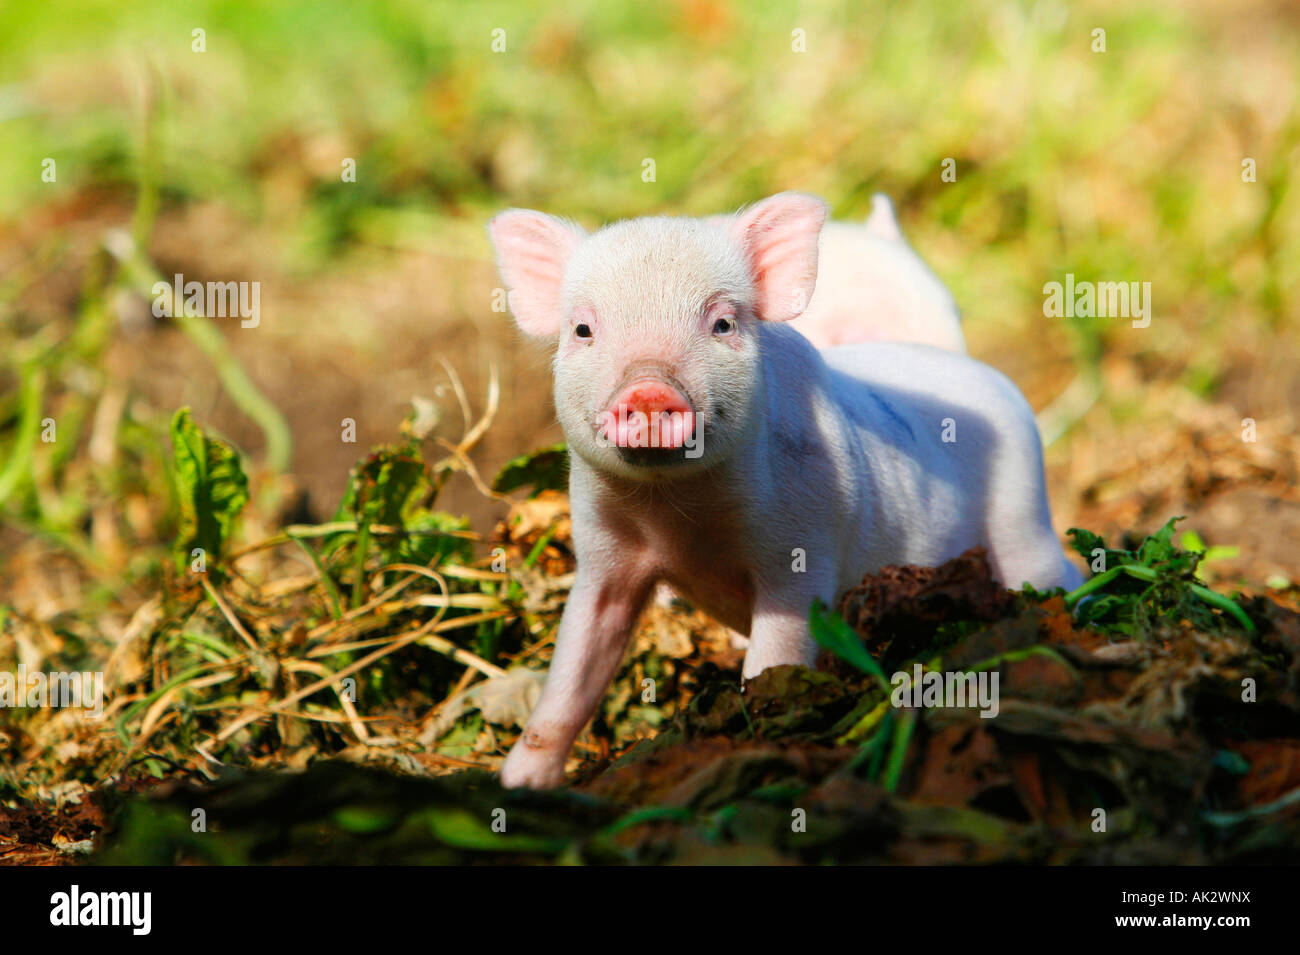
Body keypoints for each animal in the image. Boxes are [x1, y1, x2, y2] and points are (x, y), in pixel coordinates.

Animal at [487, 191, 1082, 789]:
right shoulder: (601, 551)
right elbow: (573, 668)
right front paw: (517, 782)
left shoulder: (803, 547)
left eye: (723, 323)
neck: (676, 517)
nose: (651, 388)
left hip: (1022, 514)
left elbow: (775, 654)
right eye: (583, 330)